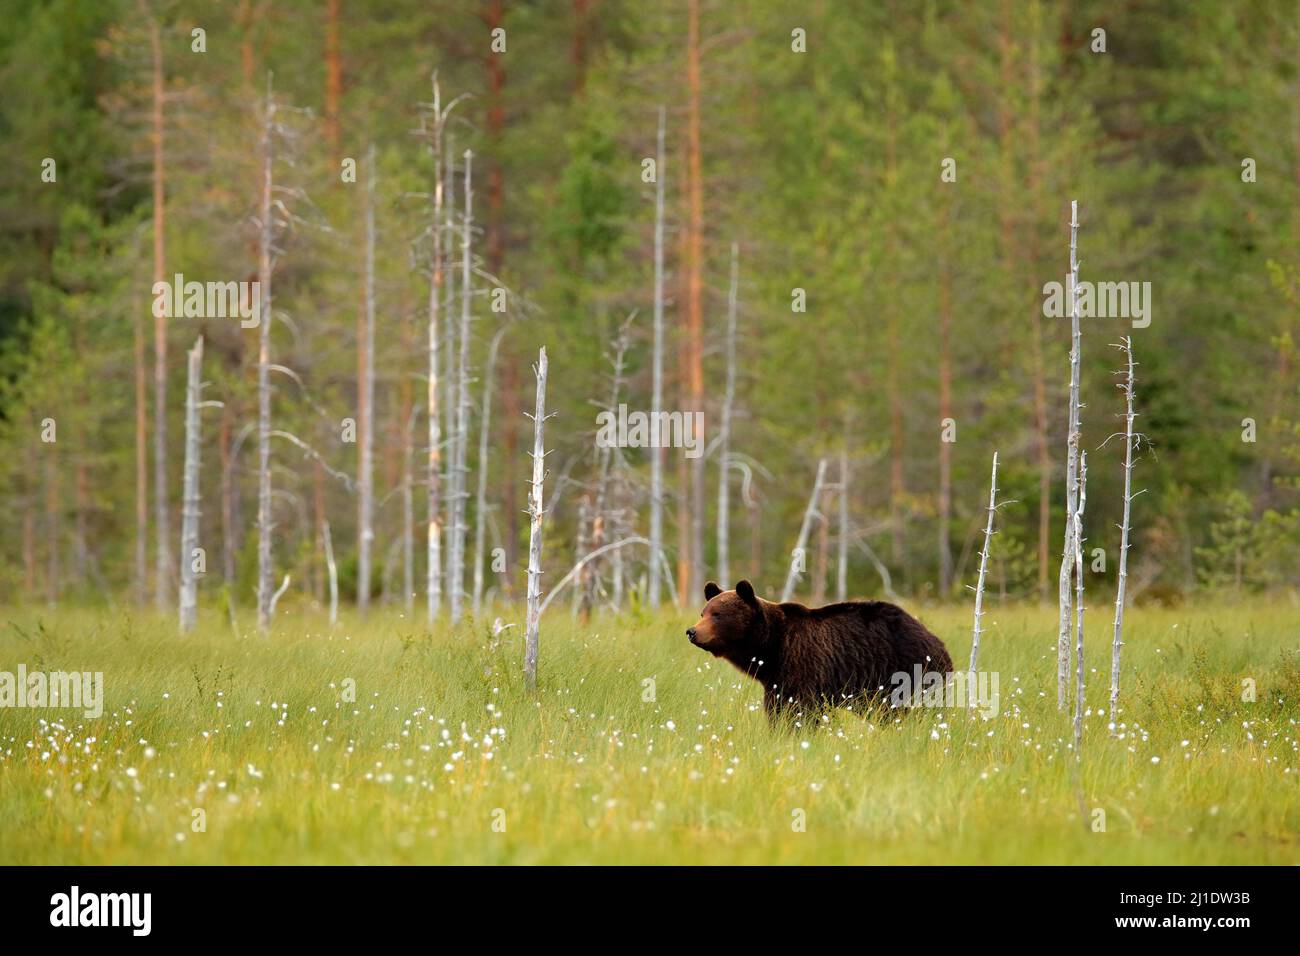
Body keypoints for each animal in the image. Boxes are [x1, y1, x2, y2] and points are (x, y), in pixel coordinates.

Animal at [686, 579, 953, 724]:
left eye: (717, 614)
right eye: (703, 612)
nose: (691, 631)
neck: (771, 647)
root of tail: (938, 641)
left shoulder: (804, 666)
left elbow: (803, 711)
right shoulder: (777, 682)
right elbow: (777, 710)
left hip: (909, 670)